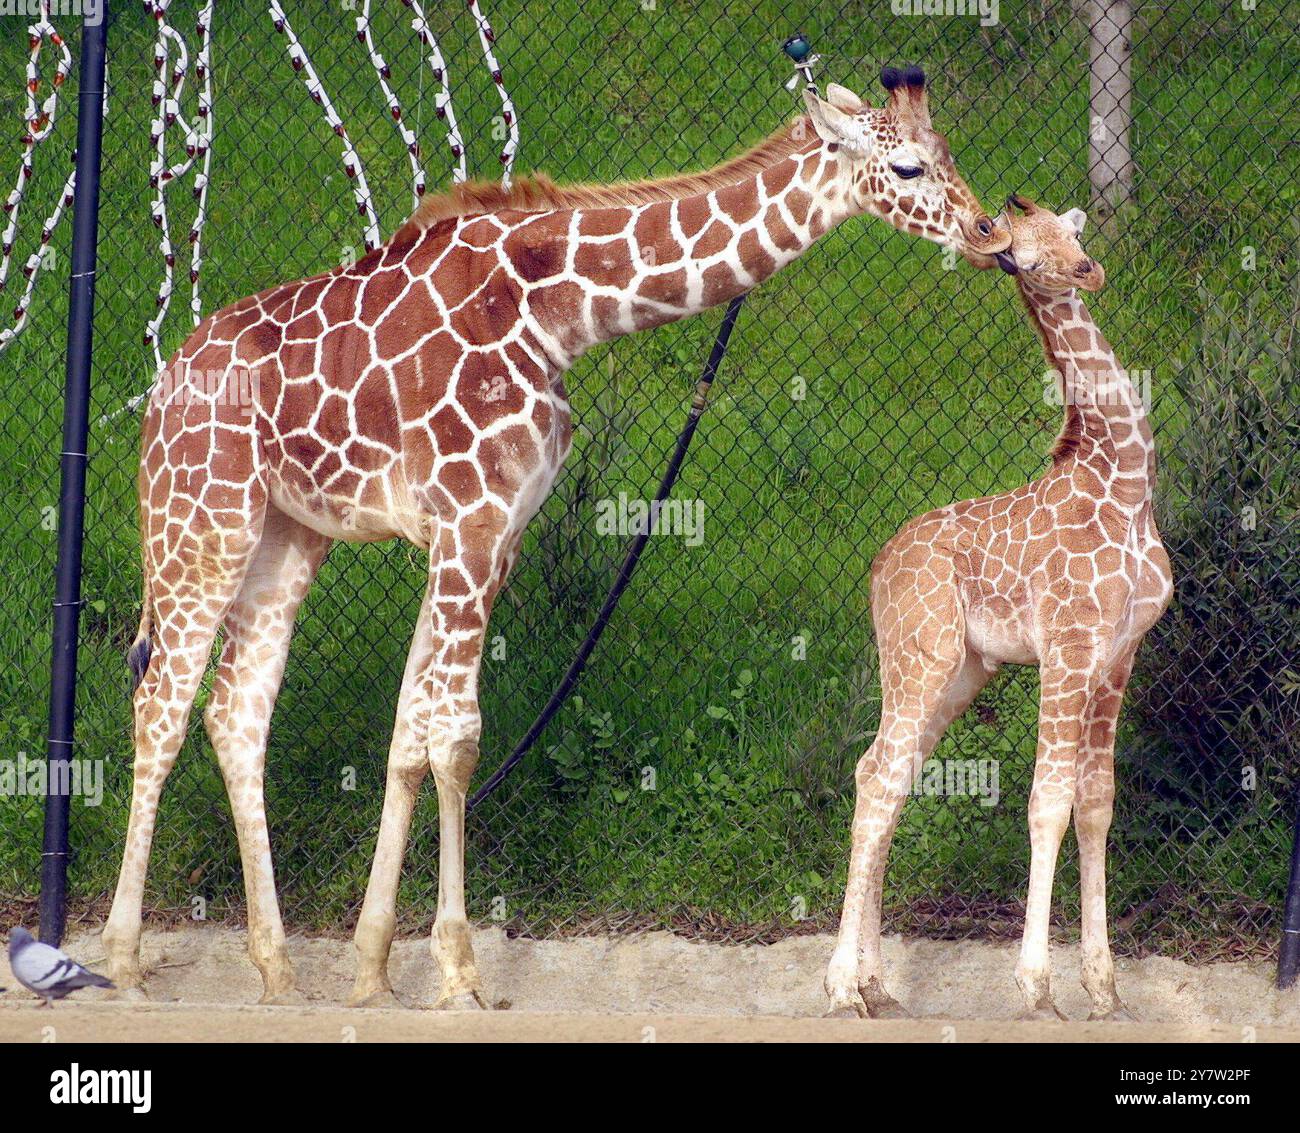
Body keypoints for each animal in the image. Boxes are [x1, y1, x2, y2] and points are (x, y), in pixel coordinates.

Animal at [101, 68, 1012, 1008]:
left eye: (946, 152)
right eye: (906, 168)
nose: (991, 234)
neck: (559, 312)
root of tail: (161, 390)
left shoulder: (489, 535)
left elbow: (410, 735)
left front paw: (373, 967)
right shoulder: (469, 522)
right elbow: (455, 738)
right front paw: (459, 971)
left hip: (285, 535)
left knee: (236, 711)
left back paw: (277, 966)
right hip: (199, 523)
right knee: (160, 707)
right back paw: (123, 957)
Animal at [823, 195, 1173, 1022]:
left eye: (1073, 234)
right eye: (1029, 258)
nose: (1089, 272)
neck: (1126, 483)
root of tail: (877, 569)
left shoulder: (1119, 653)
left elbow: (1096, 803)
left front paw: (1104, 987)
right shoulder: (1068, 648)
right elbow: (1048, 802)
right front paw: (1038, 985)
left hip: (959, 671)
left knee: (883, 777)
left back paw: (876, 983)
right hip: (921, 658)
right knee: (879, 779)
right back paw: (842, 987)